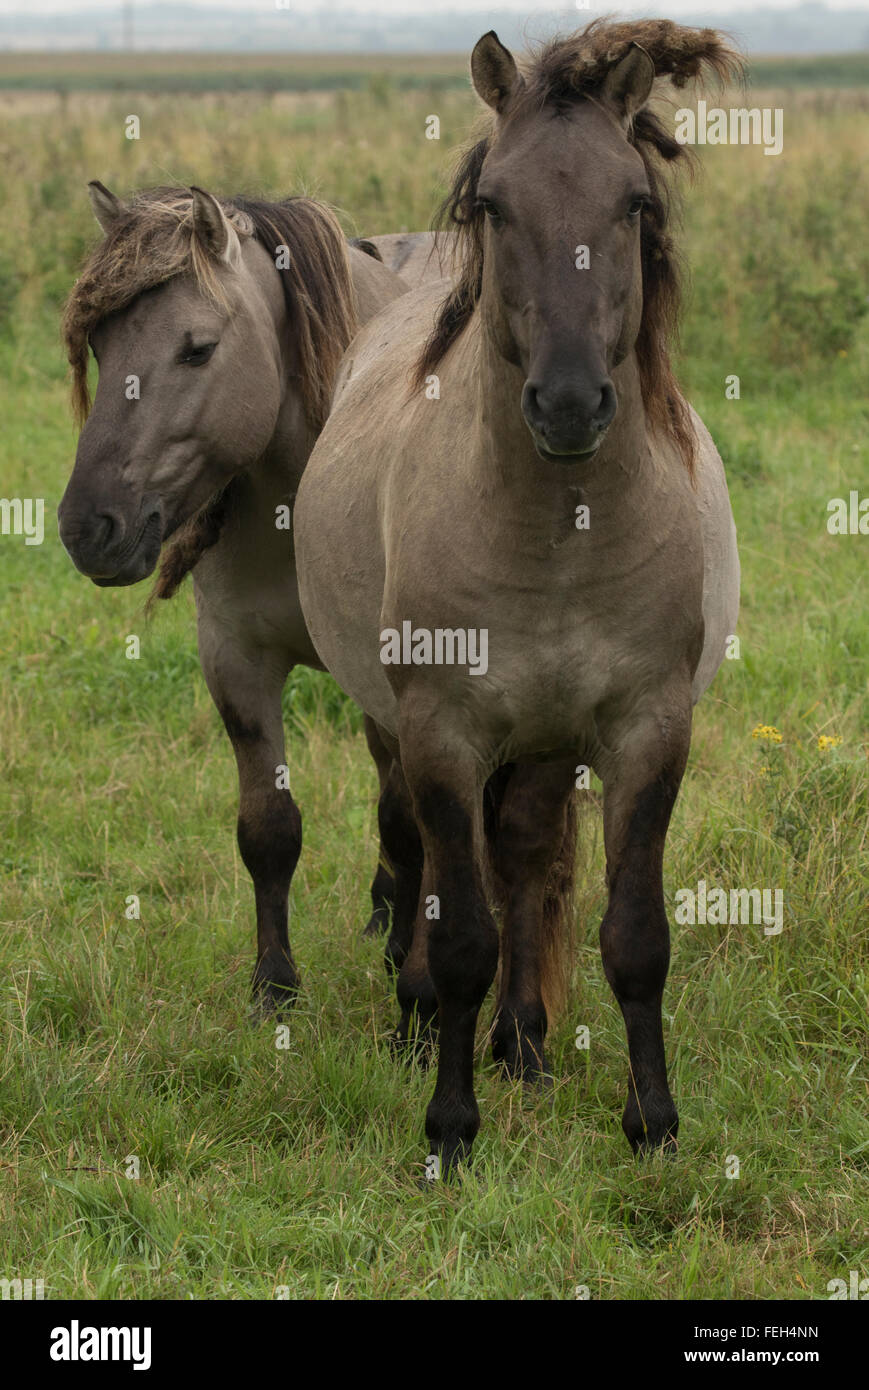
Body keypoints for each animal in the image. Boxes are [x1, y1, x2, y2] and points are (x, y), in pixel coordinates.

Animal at [57, 183, 446, 1013]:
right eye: (100, 347)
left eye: (197, 348)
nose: (87, 528)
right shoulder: (235, 661)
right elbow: (268, 829)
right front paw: (274, 985)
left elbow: (408, 822)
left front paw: (412, 973)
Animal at [294, 20, 742, 1173]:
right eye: (494, 204)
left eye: (631, 203)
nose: (572, 402)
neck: (559, 535)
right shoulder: (443, 730)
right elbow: (460, 933)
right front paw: (450, 1128)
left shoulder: (644, 730)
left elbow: (632, 934)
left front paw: (652, 1123)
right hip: (396, 727)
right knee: (416, 852)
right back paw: (420, 1027)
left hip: (541, 745)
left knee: (525, 861)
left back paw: (525, 1044)